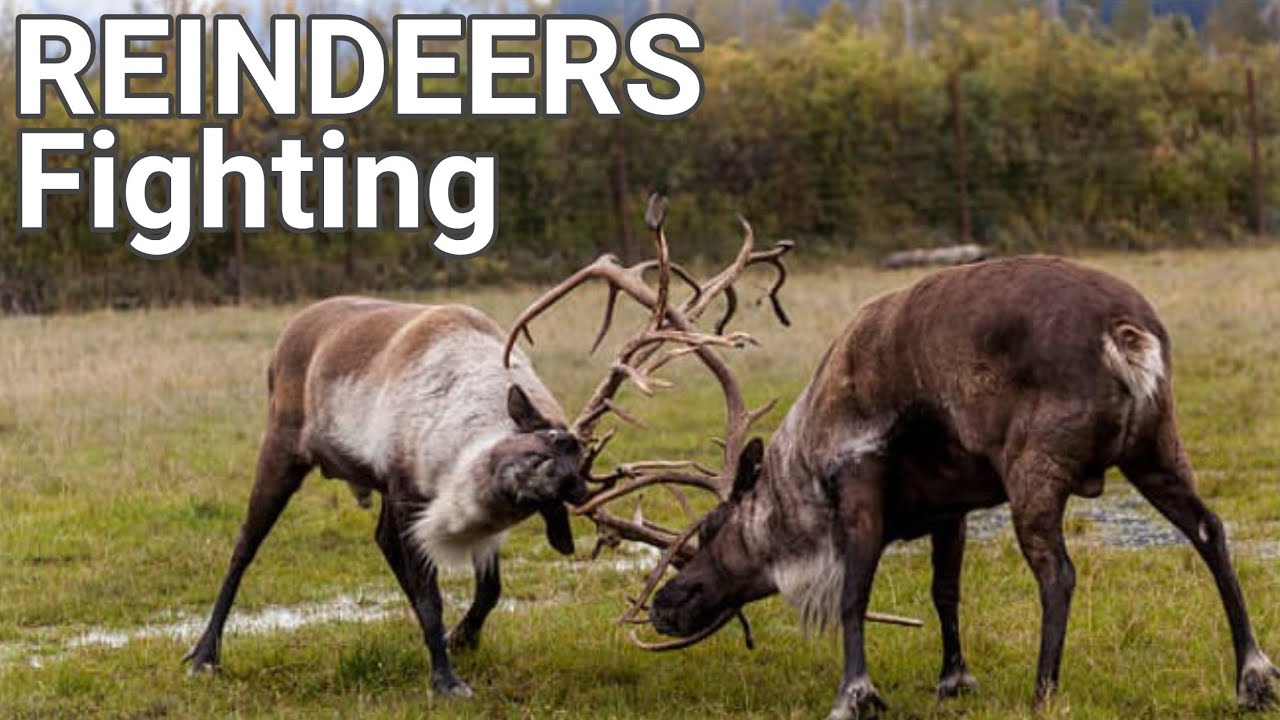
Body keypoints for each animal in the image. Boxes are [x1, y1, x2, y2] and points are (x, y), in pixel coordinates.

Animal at [183, 297, 591, 697]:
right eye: (550, 439)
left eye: (571, 486)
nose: (543, 478)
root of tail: (288, 333)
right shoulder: (409, 494)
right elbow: (431, 599)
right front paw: (445, 678)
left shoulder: (460, 517)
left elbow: (489, 589)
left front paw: (461, 638)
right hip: (281, 450)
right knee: (244, 545)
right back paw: (204, 655)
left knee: (384, 540)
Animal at [508, 196, 1278, 718]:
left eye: (708, 531)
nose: (667, 604)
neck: (801, 461)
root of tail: (1129, 333)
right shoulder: (953, 504)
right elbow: (945, 591)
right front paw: (953, 679)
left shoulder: (859, 482)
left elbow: (855, 592)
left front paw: (855, 692)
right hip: (1157, 442)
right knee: (1210, 529)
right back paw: (1253, 676)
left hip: (1036, 465)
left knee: (1057, 571)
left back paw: (1043, 689)